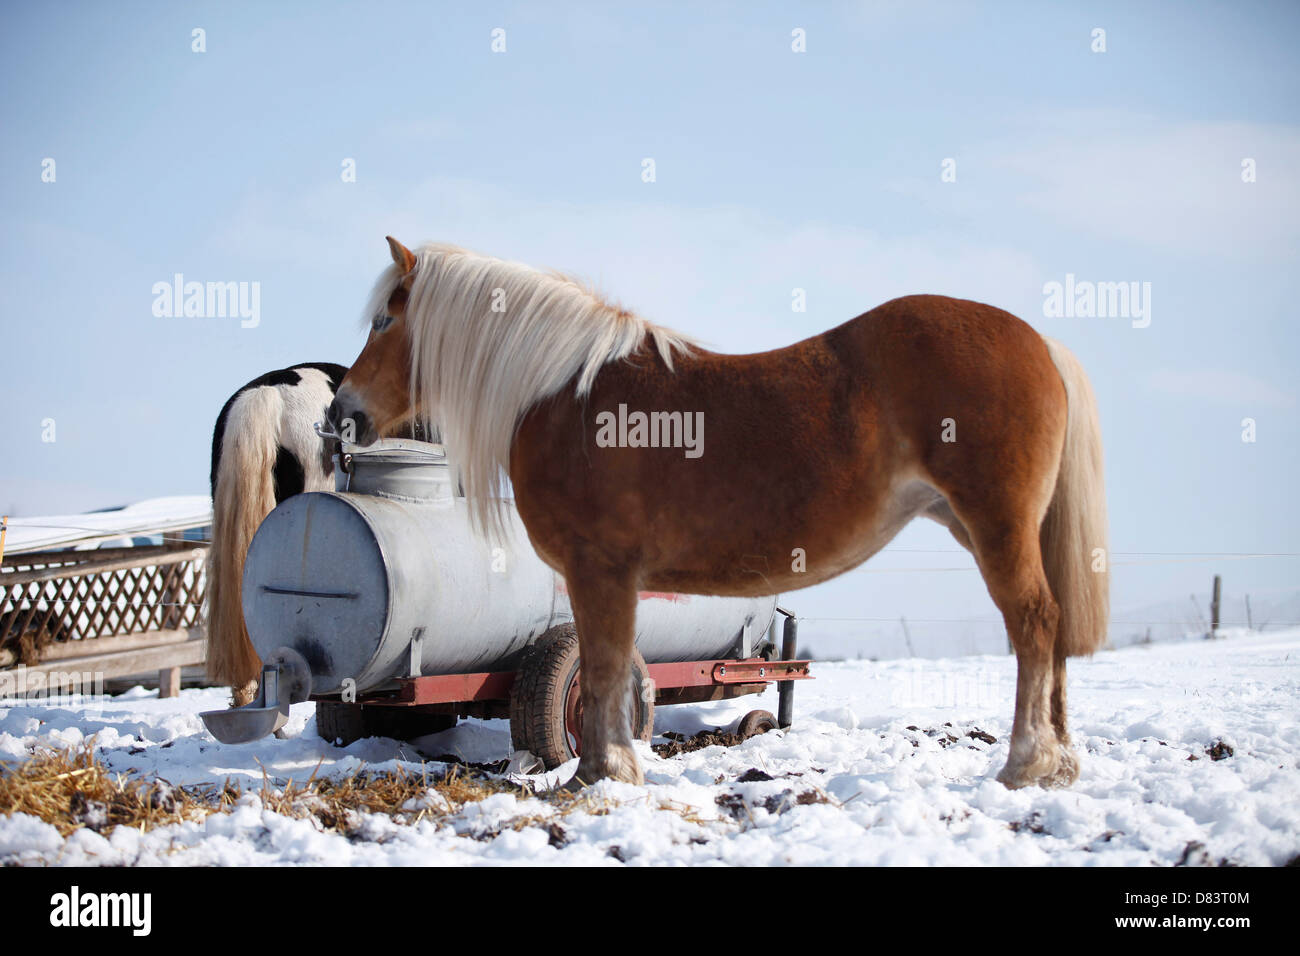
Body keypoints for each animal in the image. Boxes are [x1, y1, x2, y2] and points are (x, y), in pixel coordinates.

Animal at [327, 237, 1109, 791]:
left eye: (387, 318)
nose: (343, 414)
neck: (565, 395)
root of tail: (1040, 342)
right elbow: (618, 671)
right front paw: (606, 772)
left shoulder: (598, 570)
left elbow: (605, 672)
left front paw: (600, 777)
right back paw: (1061, 764)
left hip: (996, 526)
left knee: (1035, 624)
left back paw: (1025, 765)